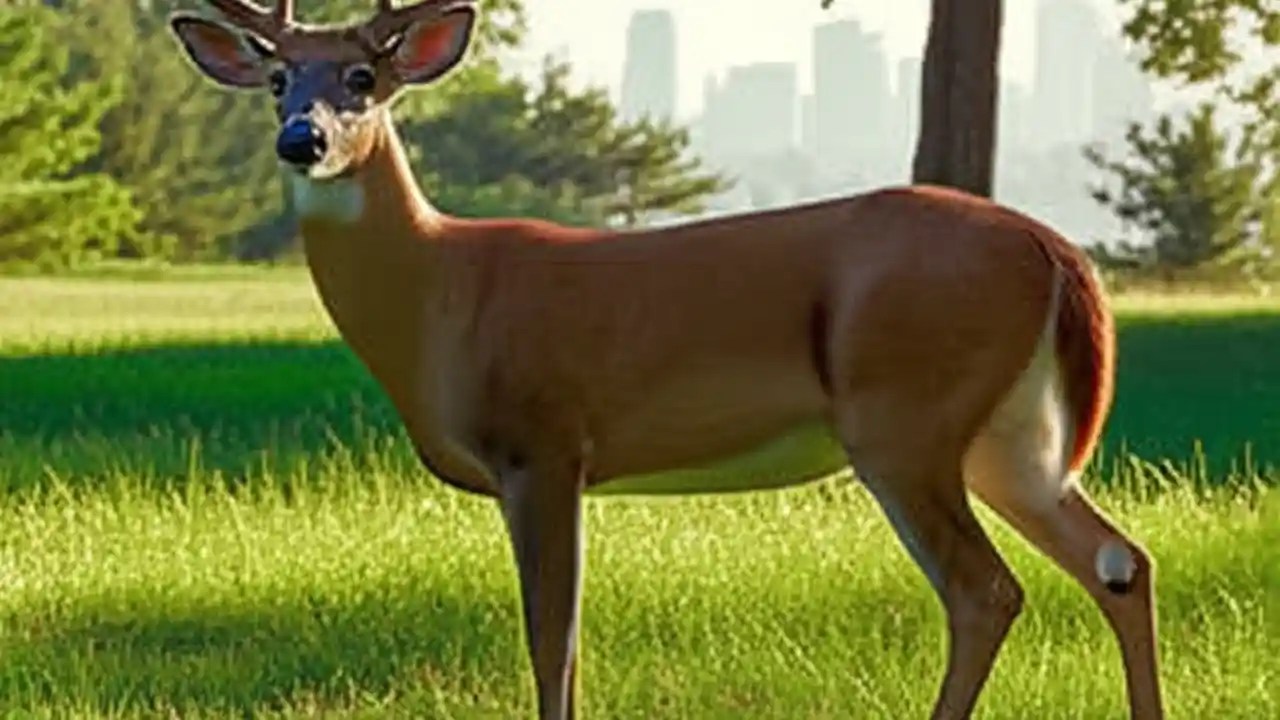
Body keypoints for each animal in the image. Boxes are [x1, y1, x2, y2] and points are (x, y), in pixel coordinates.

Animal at [166, 1, 1164, 718]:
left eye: (364, 76)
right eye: (278, 77)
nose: (303, 139)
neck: (442, 295)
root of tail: (1057, 250)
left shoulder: (542, 441)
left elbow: (552, 635)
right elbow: (561, 637)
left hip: (906, 415)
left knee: (984, 591)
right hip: (1009, 437)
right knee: (1118, 560)